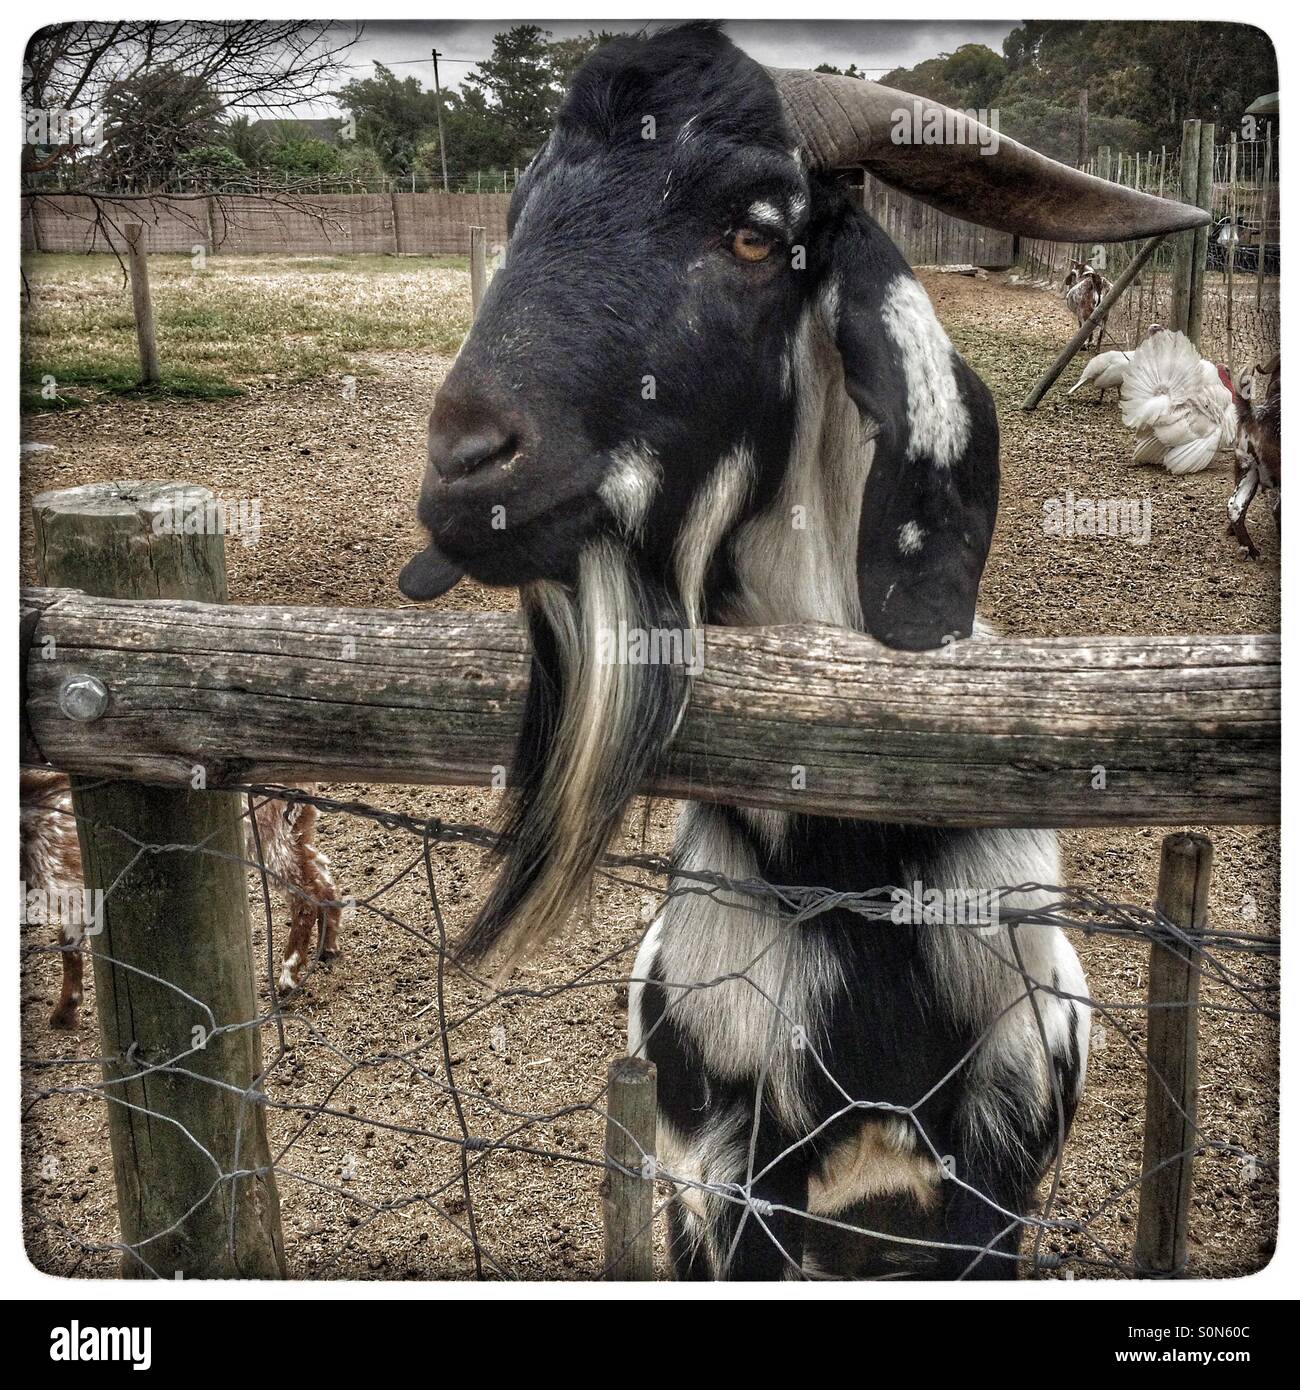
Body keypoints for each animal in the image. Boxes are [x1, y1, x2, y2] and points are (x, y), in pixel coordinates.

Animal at [20, 771, 342, 1027]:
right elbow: (67, 942)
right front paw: (64, 1013)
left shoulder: (69, 882)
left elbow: (69, 941)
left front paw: (64, 1012)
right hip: (295, 827)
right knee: (323, 877)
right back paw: (327, 948)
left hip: (270, 832)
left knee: (305, 895)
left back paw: (288, 974)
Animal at [398, 23, 1207, 1279]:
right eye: (523, 209)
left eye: (752, 231)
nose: (464, 468)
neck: (847, 856)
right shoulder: (731, 1159)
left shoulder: (1008, 1133)